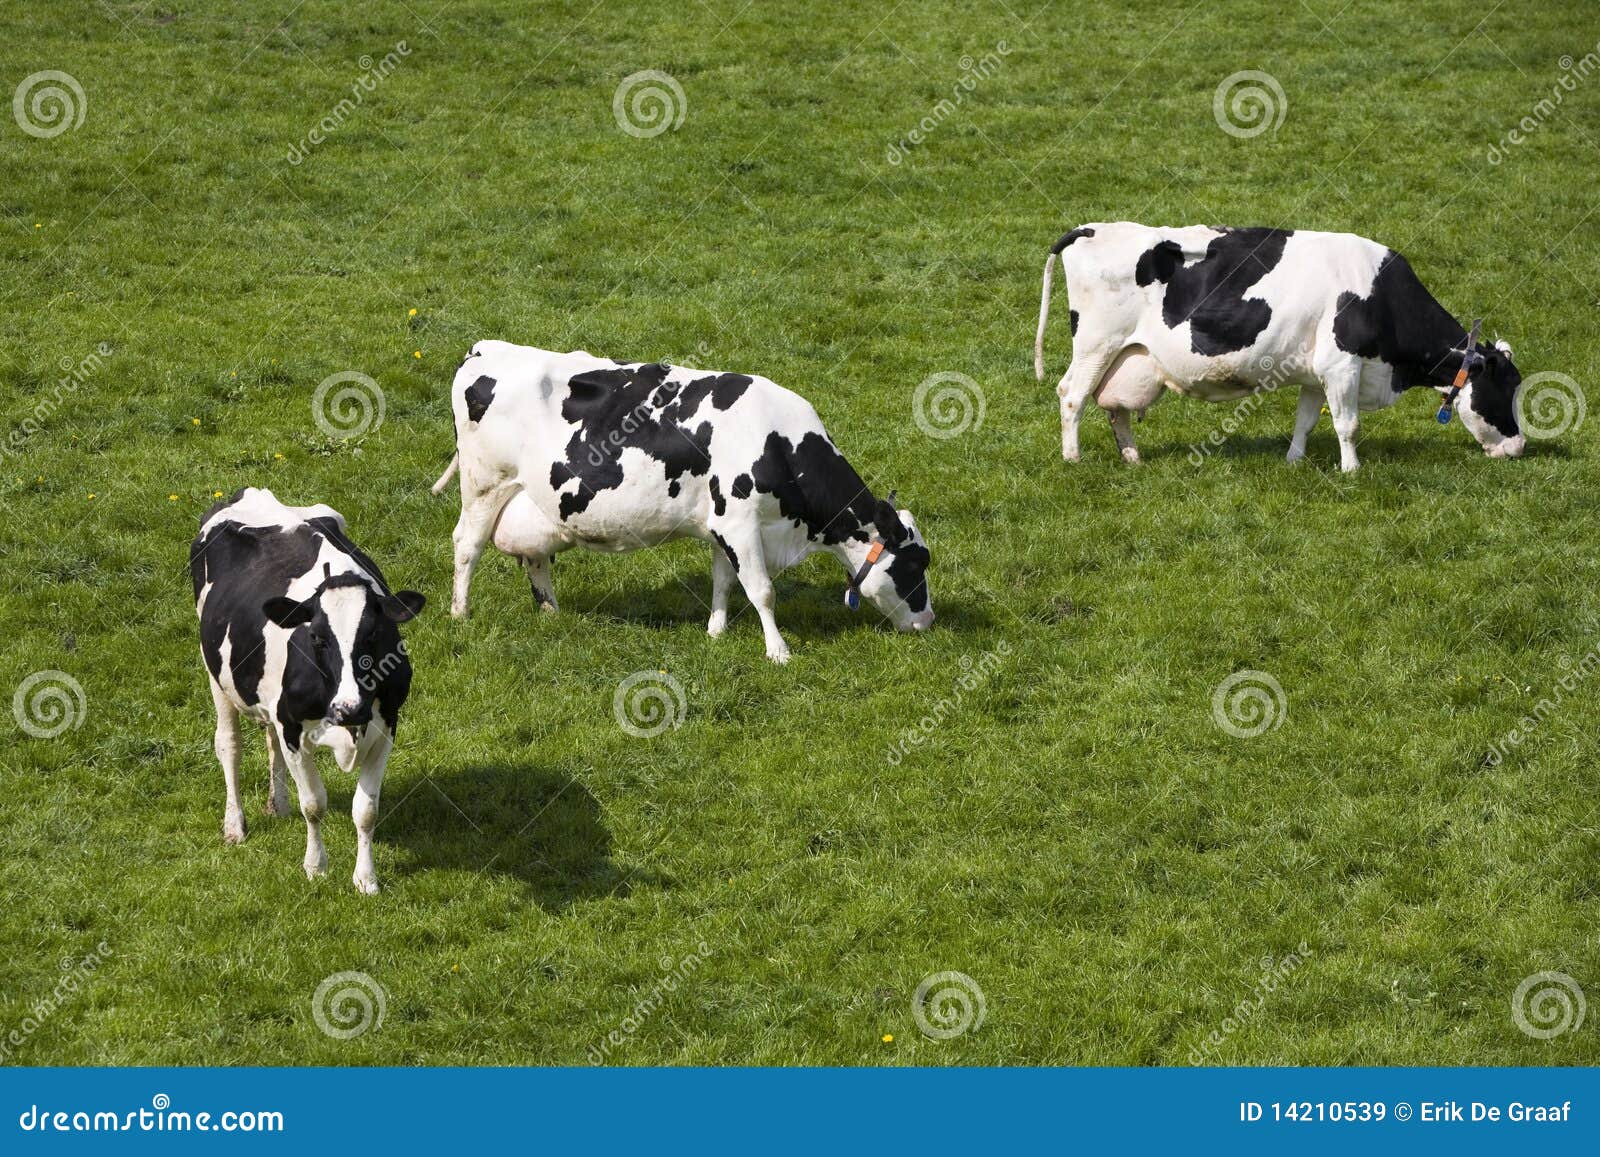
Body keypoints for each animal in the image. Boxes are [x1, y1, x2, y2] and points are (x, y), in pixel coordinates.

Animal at [190, 487, 425, 894]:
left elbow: (366, 810)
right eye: (316, 638)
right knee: (229, 744)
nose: (349, 709)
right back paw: (235, 825)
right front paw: (315, 866)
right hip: (216, 673)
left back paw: (278, 804)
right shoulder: (293, 727)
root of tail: (248, 492)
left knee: (269, 741)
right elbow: (314, 803)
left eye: (374, 635)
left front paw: (366, 879)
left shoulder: (387, 724)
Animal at [430, 341, 934, 663]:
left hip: (531, 501)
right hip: (483, 484)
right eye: (914, 566)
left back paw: (551, 614)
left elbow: (724, 581)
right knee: (466, 545)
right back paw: (460, 614)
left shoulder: (722, 524)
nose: (928, 620)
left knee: (535, 558)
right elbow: (762, 590)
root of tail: (484, 349)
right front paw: (779, 652)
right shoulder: (739, 522)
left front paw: (716, 630)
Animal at [1034, 223, 1525, 471]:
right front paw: (1351, 471)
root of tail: (1091, 228)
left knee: (1112, 406)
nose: (1520, 447)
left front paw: (1293, 460)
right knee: (1072, 395)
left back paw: (1133, 458)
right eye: (1505, 392)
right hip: (1096, 343)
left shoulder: (1316, 371)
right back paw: (1073, 459)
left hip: (1126, 356)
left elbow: (1307, 420)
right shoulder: (1342, 364)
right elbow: (1348, 425)